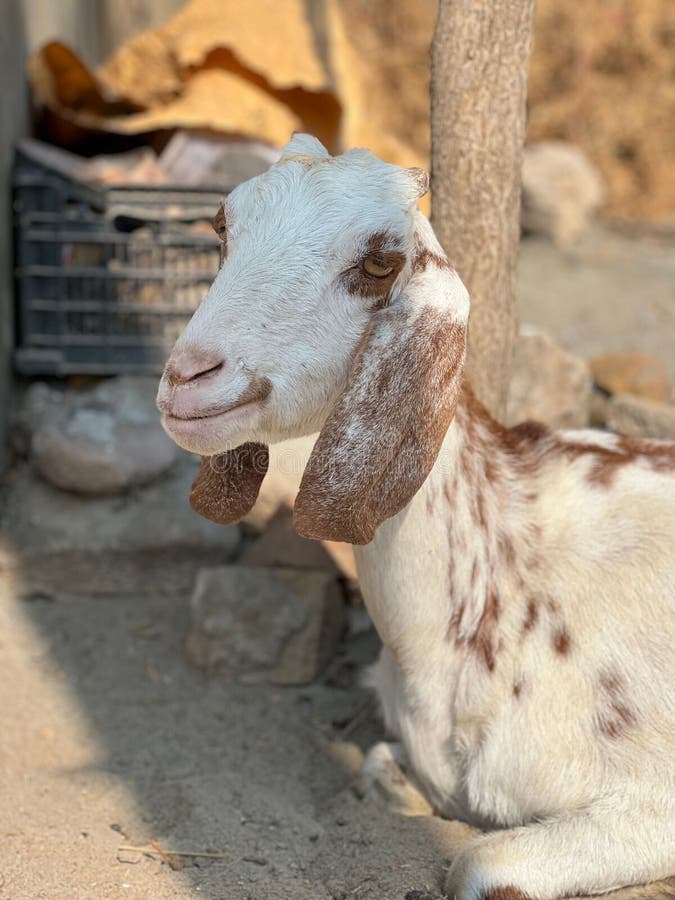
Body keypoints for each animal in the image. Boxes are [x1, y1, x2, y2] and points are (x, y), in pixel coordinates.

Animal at [157, 134, 675, 900]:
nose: (188, 377)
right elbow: (381, 766)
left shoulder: (649, 804)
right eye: (223, 226)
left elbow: (477, 862)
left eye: (379, 263)